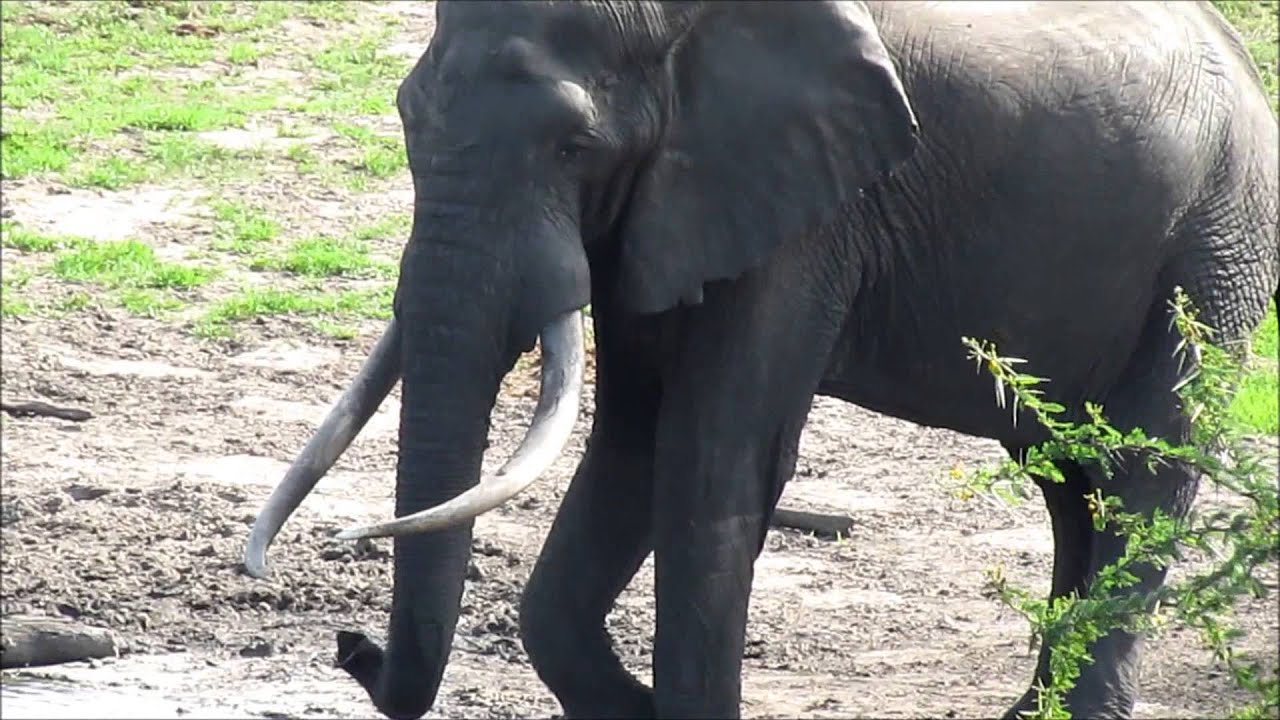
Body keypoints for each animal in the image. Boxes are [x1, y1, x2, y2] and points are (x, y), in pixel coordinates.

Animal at [241, 1, 1280, 718]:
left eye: (574, 144)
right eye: (406, 116)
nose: (349, 644)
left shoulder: (808, 208)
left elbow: (712, 453)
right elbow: (632, 440)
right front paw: (637, 709)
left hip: (1215, 245)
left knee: (1144, 466)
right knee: (1072, 482)